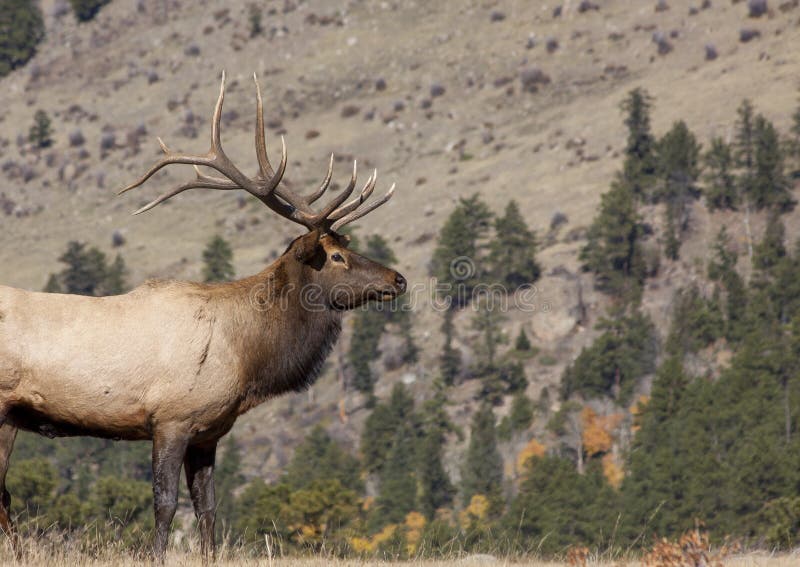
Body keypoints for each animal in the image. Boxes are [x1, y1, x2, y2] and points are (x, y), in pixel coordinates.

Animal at [0, 72, 406, 560]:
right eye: (337, 256)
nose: (399, 278)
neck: (246, 358)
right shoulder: (170, 419)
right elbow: (165, 504)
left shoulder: (209, 431)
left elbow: (208, 508)